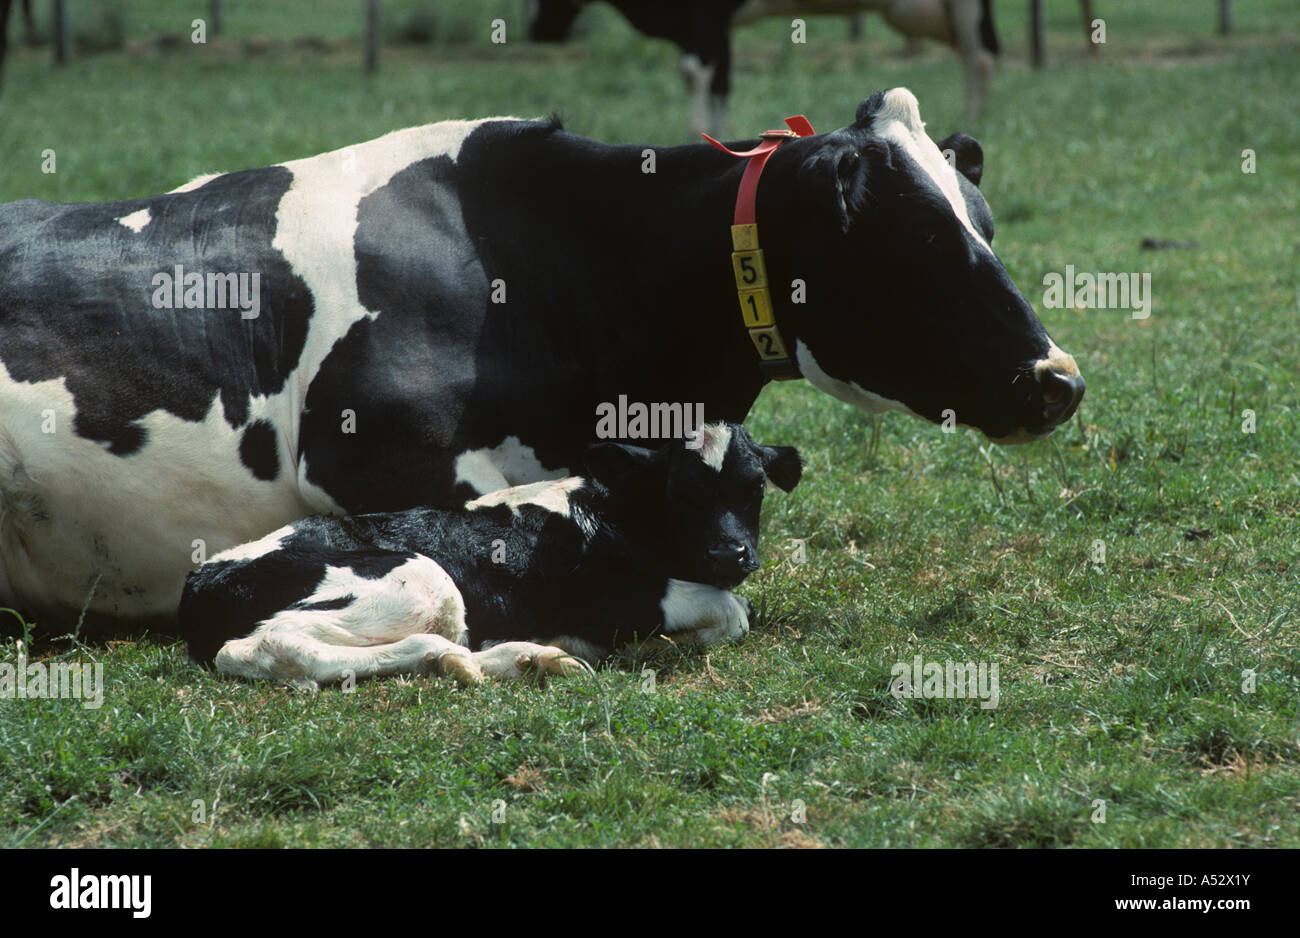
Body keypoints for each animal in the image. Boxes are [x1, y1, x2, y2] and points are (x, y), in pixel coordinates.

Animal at [179, 423, 801, 689]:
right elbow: (732, 612)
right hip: (419, 578)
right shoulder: (609, 599)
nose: (730, 553)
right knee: (268, 645)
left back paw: (525, 659)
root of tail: (200, 581)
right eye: (680, 493)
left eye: (755, 485)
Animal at [526, 0, 1000, 135]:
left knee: (981, 57)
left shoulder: (704, 22)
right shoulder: (717, 29)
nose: (535, 31)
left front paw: (697, 130)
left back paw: (975, 120)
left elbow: (695, 74)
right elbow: (721, 85)